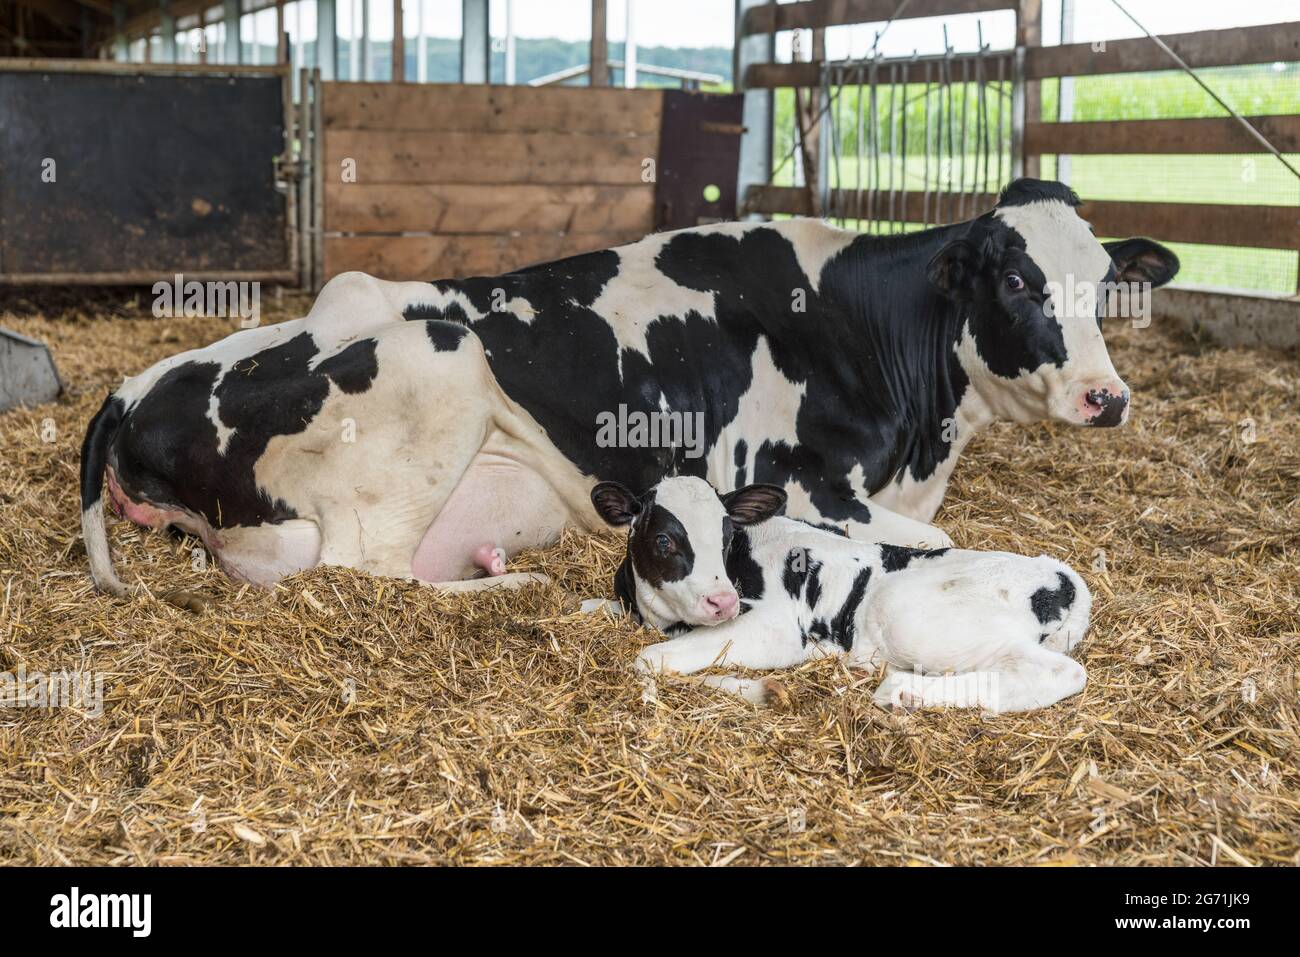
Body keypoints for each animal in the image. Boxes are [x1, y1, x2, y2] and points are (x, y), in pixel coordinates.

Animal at [80, 178, 1178, 596]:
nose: (1106, 396)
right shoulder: (795, 475)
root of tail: (132, 387)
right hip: (434, 369)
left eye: (1103, 280)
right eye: (1016, 281)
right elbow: (932, 542)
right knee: (369, 572)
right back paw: (510, 584)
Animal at [590, 475, 1092, 713]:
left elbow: (650, 661)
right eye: (663, 540)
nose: (724, 601)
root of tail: (1060, 576)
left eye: (727, 535)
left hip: (914, 617)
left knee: (1058, 673)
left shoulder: (775, 627)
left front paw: (764, 690)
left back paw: (905, 691)